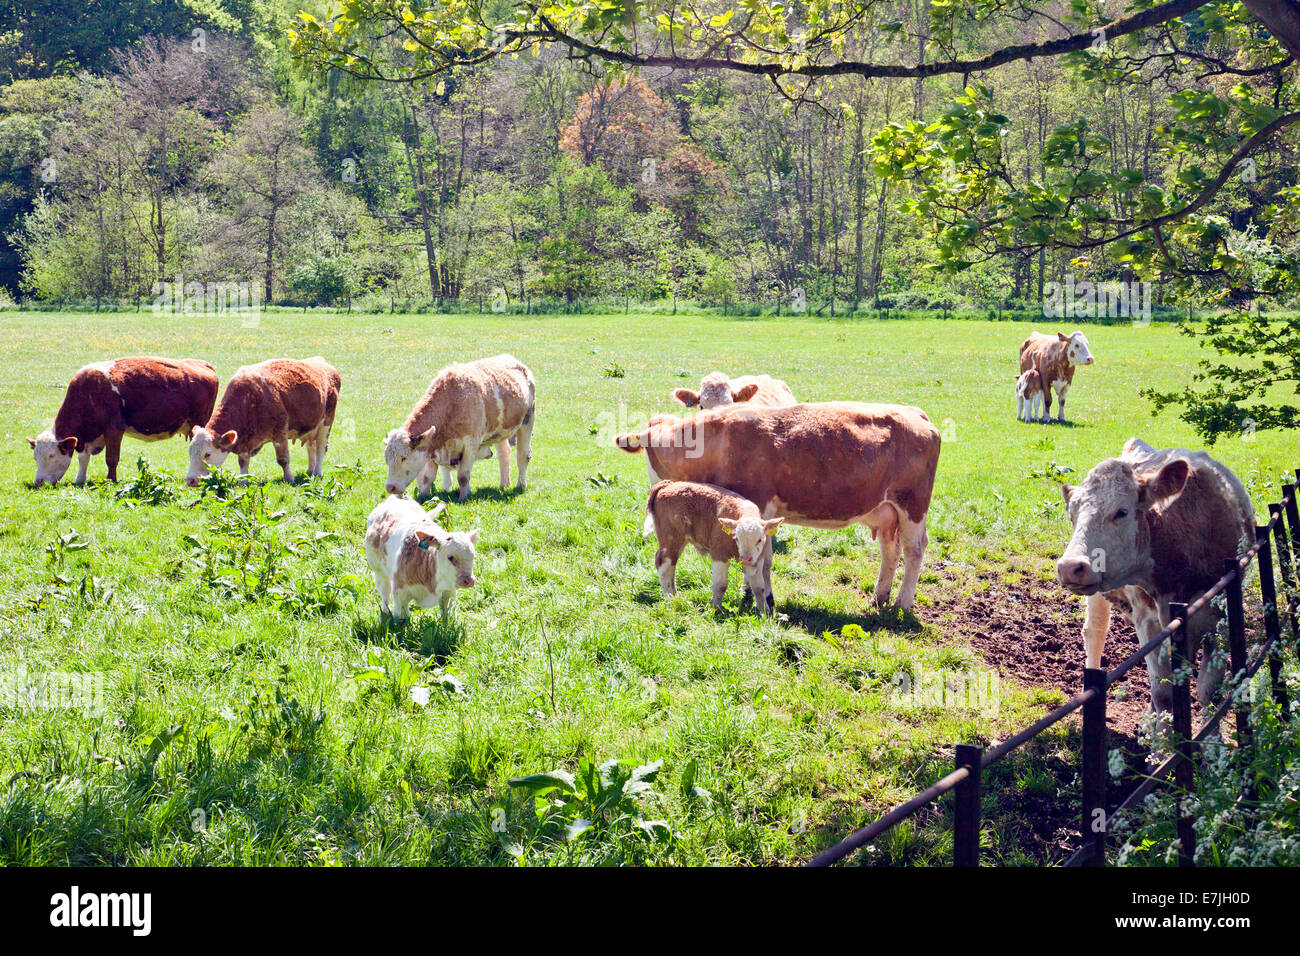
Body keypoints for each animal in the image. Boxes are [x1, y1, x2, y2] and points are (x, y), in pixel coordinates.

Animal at [28, 357, 218, 487]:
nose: (38, 482)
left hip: (198, 423)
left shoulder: (114, 429)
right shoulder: (85, 437)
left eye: (51, 455)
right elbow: (83, 459)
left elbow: (111, 458)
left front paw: (111, 480)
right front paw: (80, 480)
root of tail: (203, 364)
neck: (89, 392)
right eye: (35, 456)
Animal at [185, 357, 340, 487]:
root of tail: (324, 364)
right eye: (190, 452)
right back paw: (310, 470)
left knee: (320, 447)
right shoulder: (244, 441)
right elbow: (243, 462)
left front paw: (289, 478)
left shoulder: (280, 434)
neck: (249, 399)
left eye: (207, 454)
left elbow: (283, 459)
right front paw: (243, 481)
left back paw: (317, 472)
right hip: (311, 427)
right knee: (311, 446)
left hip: (326, 422)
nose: (190, 480)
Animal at [383, 354, 536, 502]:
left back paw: (520, 485)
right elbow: (428, 477)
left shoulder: (470, 444)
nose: (390, 487)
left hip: (528, 421)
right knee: (504, 454)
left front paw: (463, 497)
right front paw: (423, 496)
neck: (452, 402)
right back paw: (504, 484)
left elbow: (463, 476)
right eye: (386, 458)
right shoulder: (433, 446)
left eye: (403, 458)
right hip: (499, 433)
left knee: (523, 455)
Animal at [644, 480, 783, 614]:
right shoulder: (719, 554)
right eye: (737, 538)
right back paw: (672, 599)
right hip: (671, 539)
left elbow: (759, 587)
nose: (745, 558)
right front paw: (716, 608)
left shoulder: (757, 560)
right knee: (664, 566)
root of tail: (667, 484)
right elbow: (720, 584)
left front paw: (764, 611)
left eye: (759, 540)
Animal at [1056, 438, 1255, 712]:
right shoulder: (1147, 621)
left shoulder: (1220, 618)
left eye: (1122, 511)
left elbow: (1208, 690)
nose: (1069, 567)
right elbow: (1163, 694)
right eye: (1072, 515)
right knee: (1095, 633)